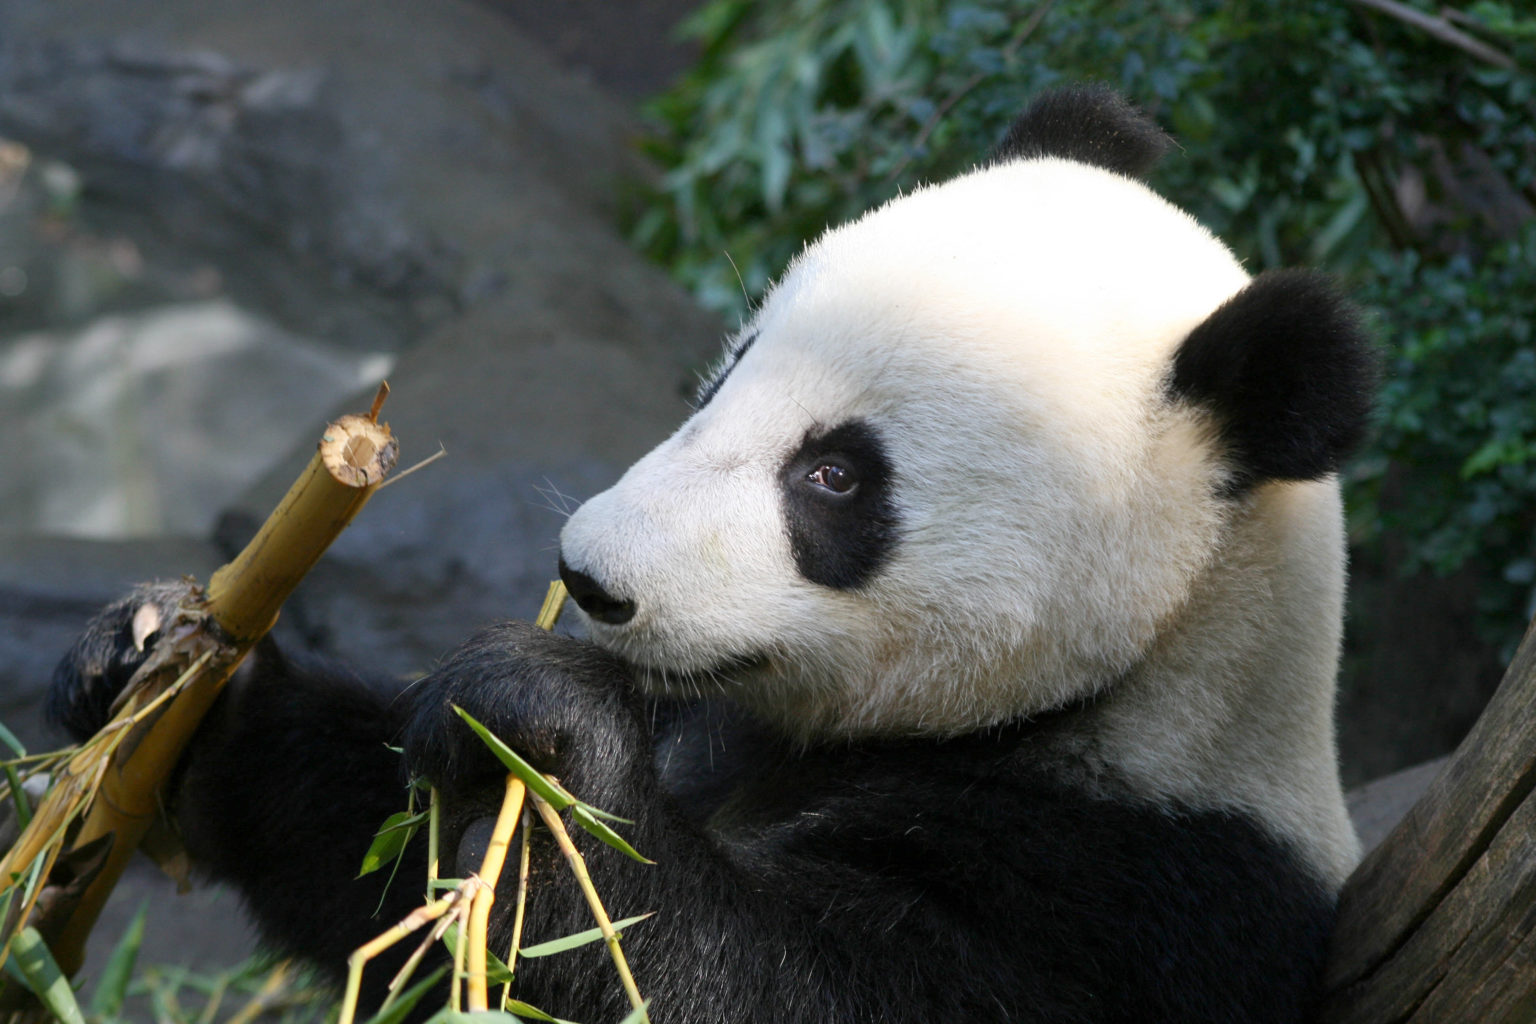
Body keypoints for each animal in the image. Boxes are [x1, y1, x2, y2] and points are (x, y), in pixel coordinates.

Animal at [52, 86, 1375, 1024]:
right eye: (731, 367)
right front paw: (163, 668)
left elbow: (746, 980)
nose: (590, 577)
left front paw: (543, 726)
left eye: (835, 476)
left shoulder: (1130, 891)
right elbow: (400, 879)